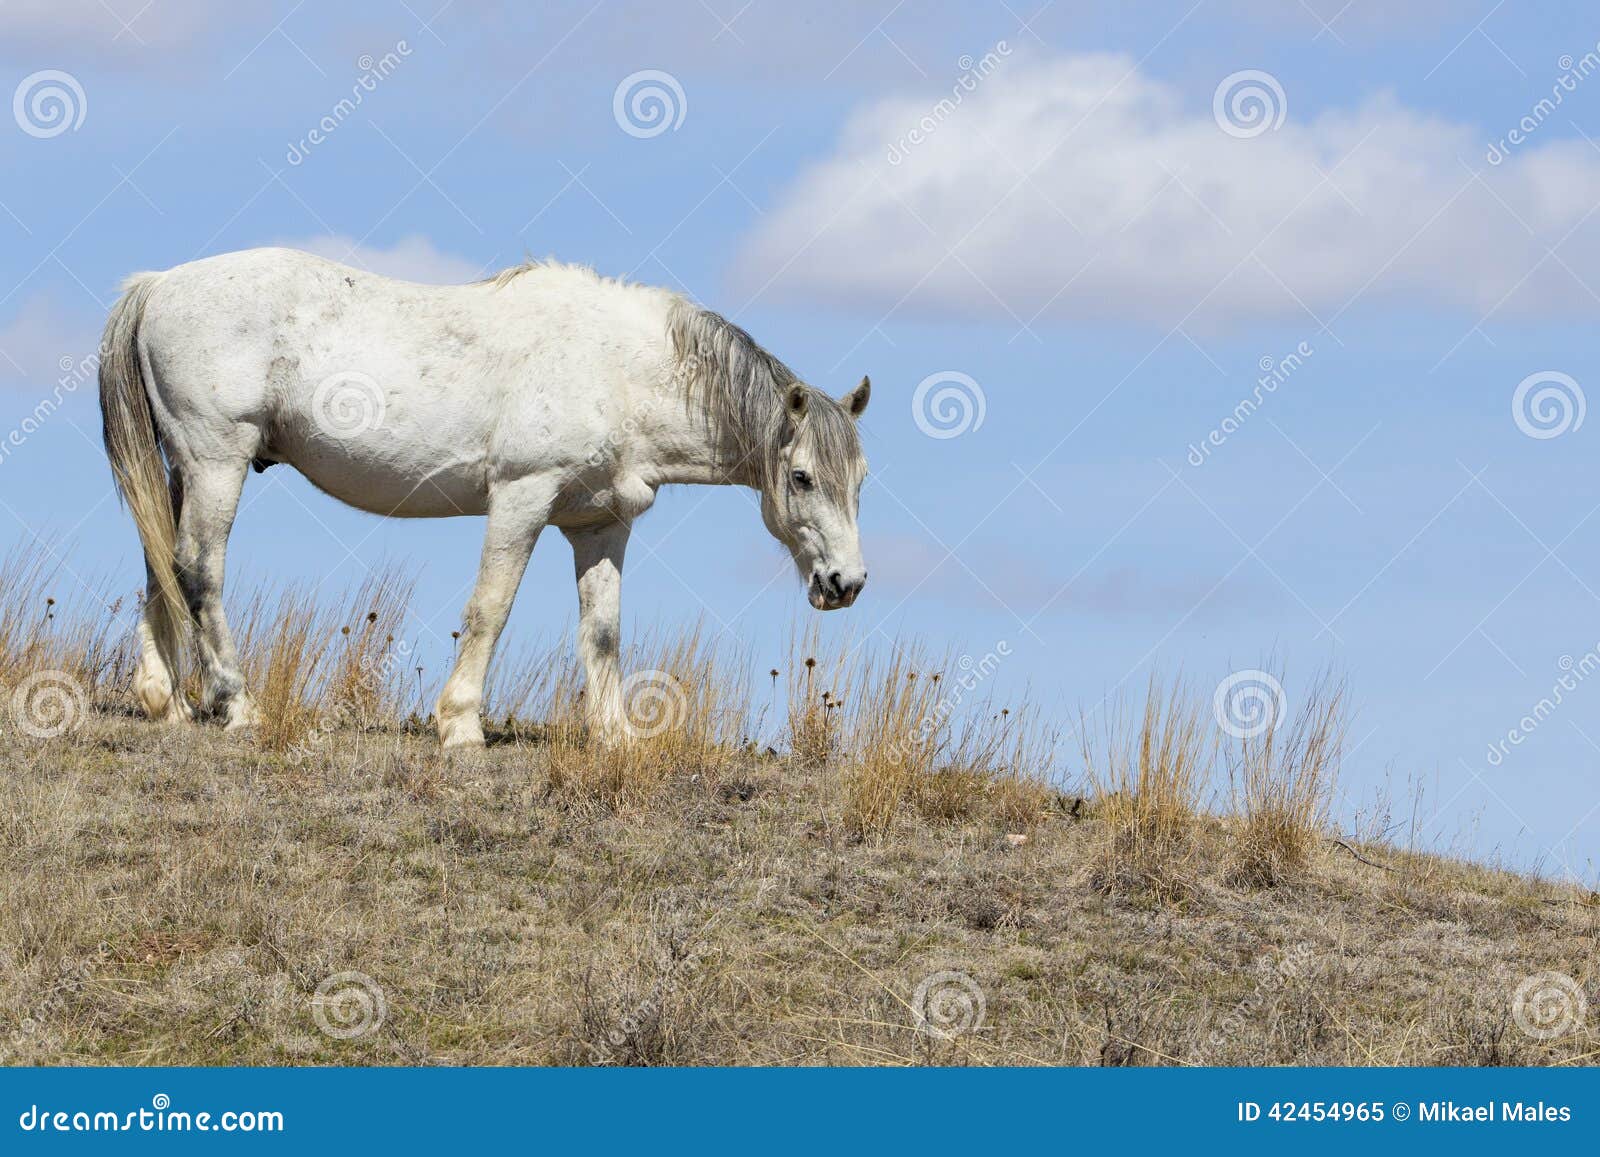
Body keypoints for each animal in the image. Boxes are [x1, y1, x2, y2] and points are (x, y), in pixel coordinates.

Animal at [98, 247, 870, 748]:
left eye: (860, 480)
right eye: (802, 477)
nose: (847, 582)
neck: (618, 366)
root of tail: (158, 285)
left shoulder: (600, 525)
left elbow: (603, 631)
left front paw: (616, 734)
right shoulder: (521, 499)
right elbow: (490, 608)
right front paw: (461, 723)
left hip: (181, 469)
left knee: (161, 561)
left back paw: (165, 703)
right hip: (216, 461)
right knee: (200, 569)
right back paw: (237, 703)